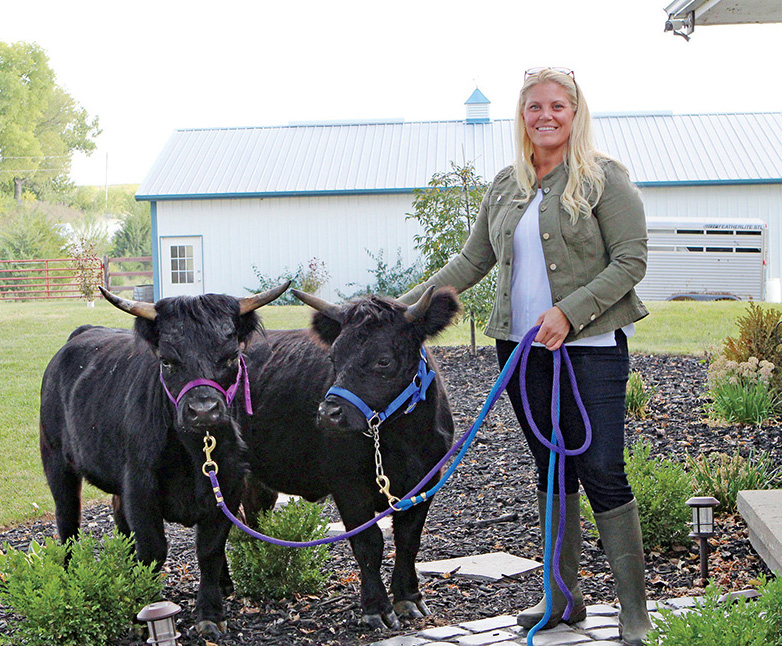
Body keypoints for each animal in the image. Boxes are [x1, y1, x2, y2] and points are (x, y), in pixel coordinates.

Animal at [38, 283, 288, 637]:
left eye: (230, 357)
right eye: (167, 361)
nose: (203, 411)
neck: (192, 452)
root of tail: (82, 333)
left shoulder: (229, 482)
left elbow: (210, 549)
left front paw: (210, 613)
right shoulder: (140, 487)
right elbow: (152, 549)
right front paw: (143, 609)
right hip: (56, 461)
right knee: (68, 521)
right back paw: (72, 572)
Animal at [239, 286, 460, 630]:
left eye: (383, 360)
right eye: (334, 357)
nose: (328, 414)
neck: (400, 440)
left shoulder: (426, 480)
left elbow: (409, 538)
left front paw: (408, 597)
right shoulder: (348, 485)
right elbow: (368, 542)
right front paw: (376, 607)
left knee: (254, 513)